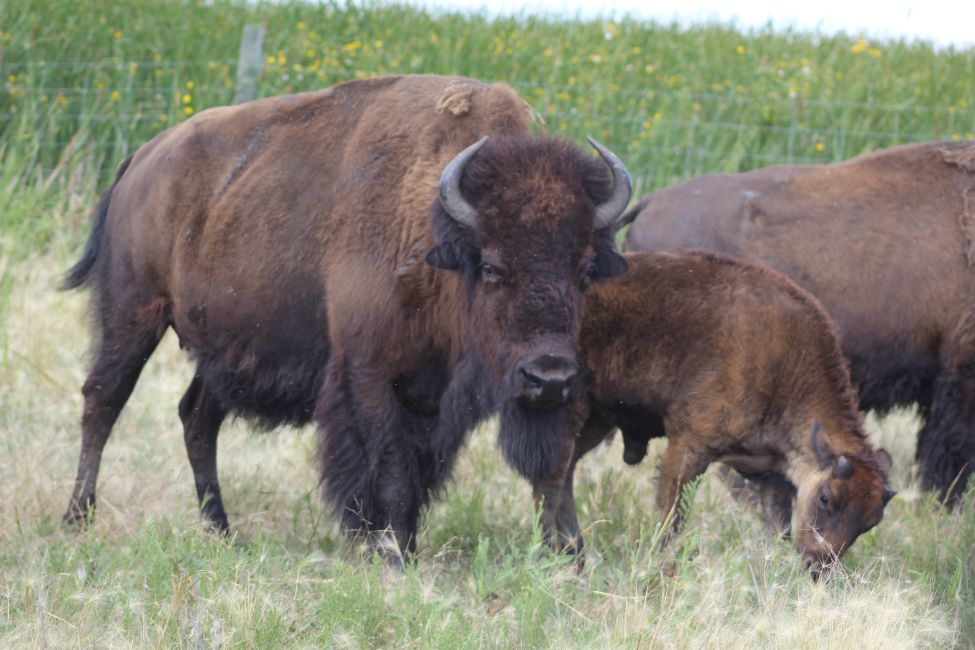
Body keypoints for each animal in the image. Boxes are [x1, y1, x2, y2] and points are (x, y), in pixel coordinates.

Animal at [63, 74, 633, 561]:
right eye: (491, 267)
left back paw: (221, 531)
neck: (435, 233)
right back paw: (77, 520)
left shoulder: (430, 395)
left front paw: (404, 546)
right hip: (134, 313)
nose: (550, 379)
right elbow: (391, 468)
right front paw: (393, 553)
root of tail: (141, 160)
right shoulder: (369, 373)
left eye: (585, 269)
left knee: (197, 417)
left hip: (219, 351)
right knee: (103, 400)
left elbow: (418, 473)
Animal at [534, 251, 895, 574]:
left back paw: (572, 554)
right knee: (552, 476)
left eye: (870, 522)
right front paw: (662, 570)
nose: (817, 567)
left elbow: (776, 525)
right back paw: (553, 553)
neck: (785, 362)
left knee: (565, 472)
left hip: (598, 420)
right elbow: (670, 516)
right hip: (572, 410)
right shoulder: (690, 446)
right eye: (825, 499)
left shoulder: (770, 475)